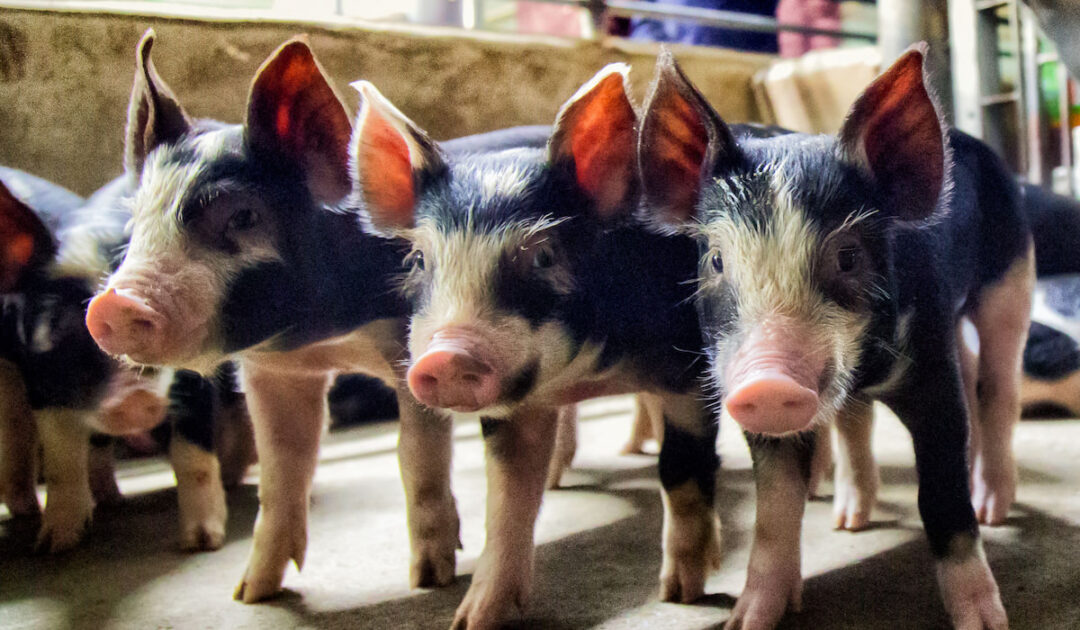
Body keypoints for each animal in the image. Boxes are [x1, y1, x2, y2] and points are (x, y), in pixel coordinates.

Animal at [348, 64, 722, 629]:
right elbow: (505, 500)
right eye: (417, 260)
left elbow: (680, 470)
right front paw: (471, 619)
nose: (445, 356)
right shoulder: (516, 409)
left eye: (544, 256)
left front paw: (681, 595)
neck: (591, 374)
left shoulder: (688, 370)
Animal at [637, 47, 1026, 629]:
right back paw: (850, 520)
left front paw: (985, 622)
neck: (865, 372)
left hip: (1010, 277)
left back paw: (994, 507)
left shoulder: (932, 367)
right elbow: (775, 511)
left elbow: (942, 493)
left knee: (997, 387)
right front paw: (745, 621)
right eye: (715, 260)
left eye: (848, 257)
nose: (768, 382)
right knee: (859, 418)